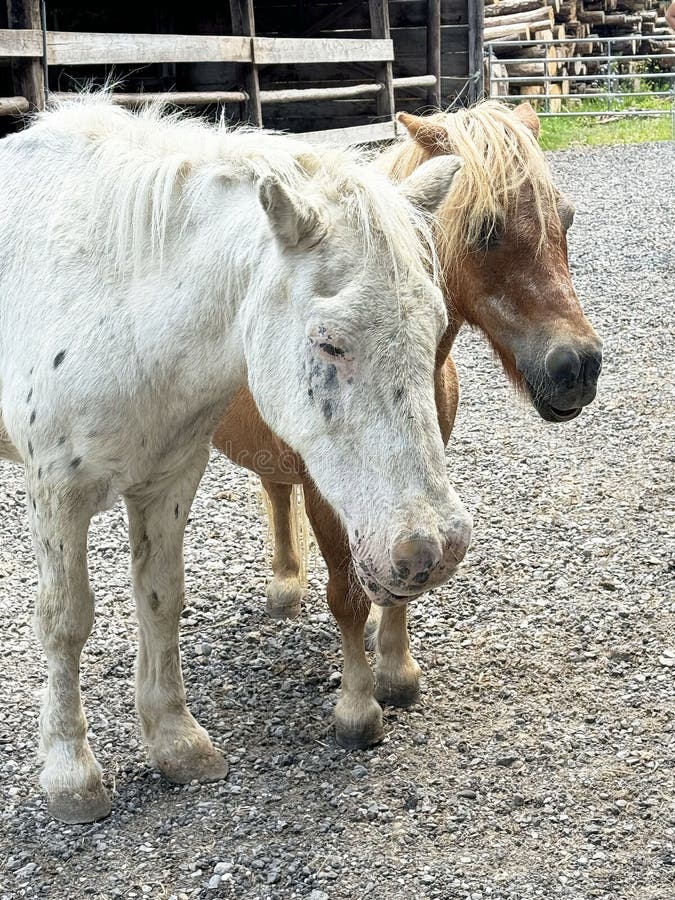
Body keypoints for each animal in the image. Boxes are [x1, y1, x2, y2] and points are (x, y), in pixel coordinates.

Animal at [0, 97, 471, 822]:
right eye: (329, 343)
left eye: (437, 328)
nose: (435, 549)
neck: (114, 302)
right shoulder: (56, 492)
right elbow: (65, 621)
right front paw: (70, 775)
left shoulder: (168, 479)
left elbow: (160, 598)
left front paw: (176, 744)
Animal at [212, 100, 603, 749]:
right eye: (485, 229)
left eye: (567, 219)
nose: (577, 367)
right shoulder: (331, 496)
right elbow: (346, 596)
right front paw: (358, 706)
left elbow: (404, 579)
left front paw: (396, 671)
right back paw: (285, 586)